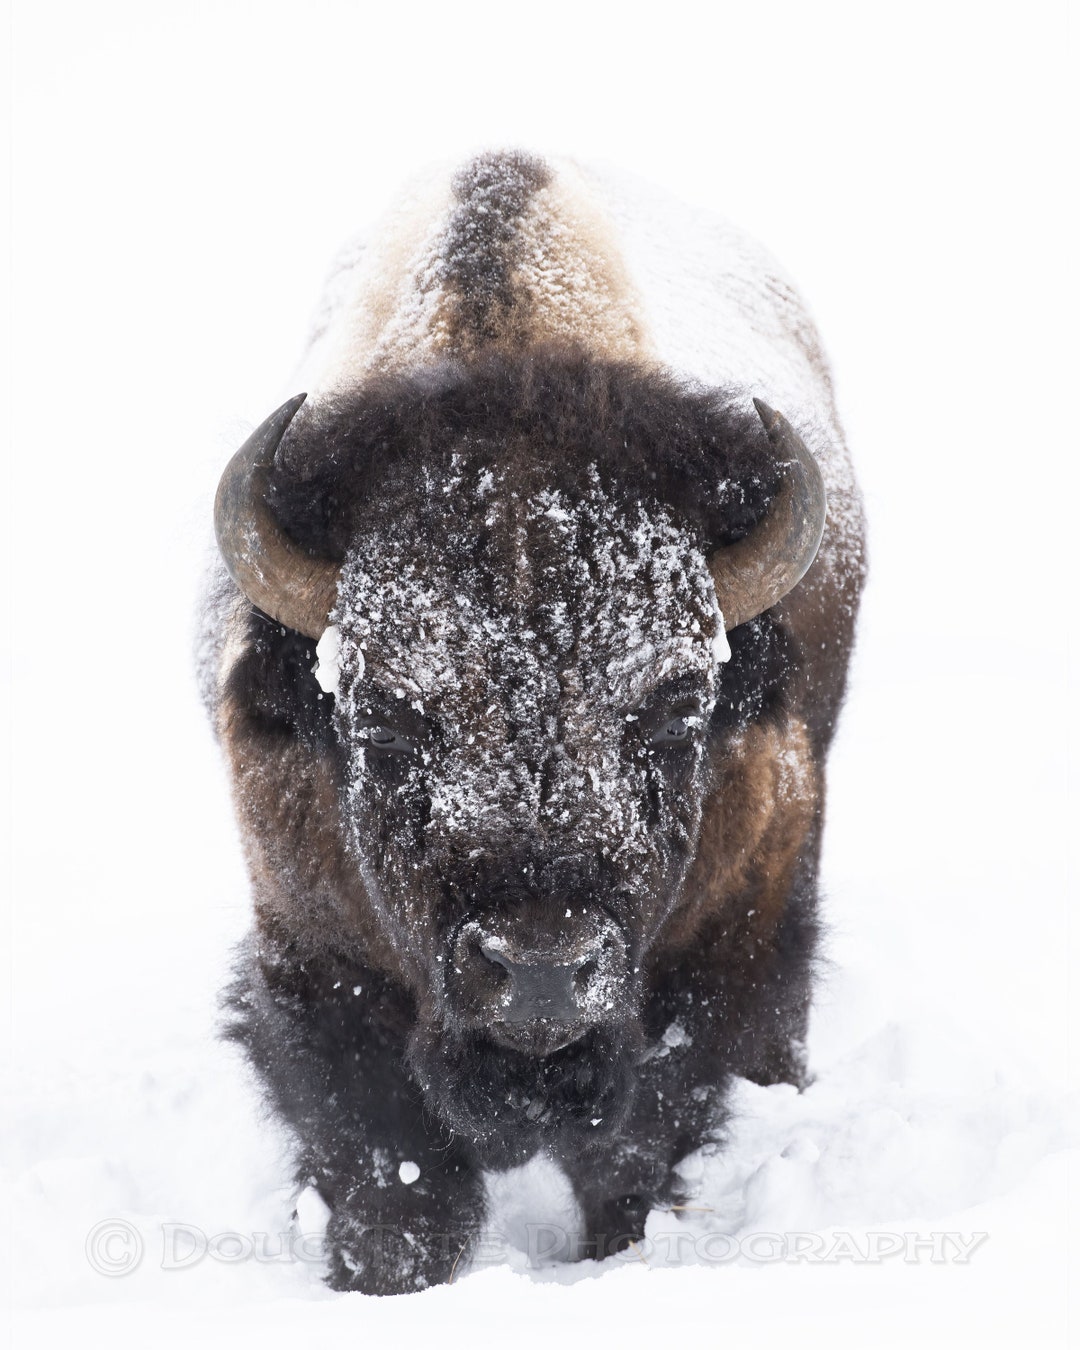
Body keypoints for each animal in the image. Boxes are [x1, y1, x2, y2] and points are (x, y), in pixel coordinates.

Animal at [201, 150, 866, 1294]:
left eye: (676, 715)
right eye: (385, 722)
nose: (543, 969)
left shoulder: (728, 944)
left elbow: (639, 1141)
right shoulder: (315, 958)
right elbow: (392, 1177)